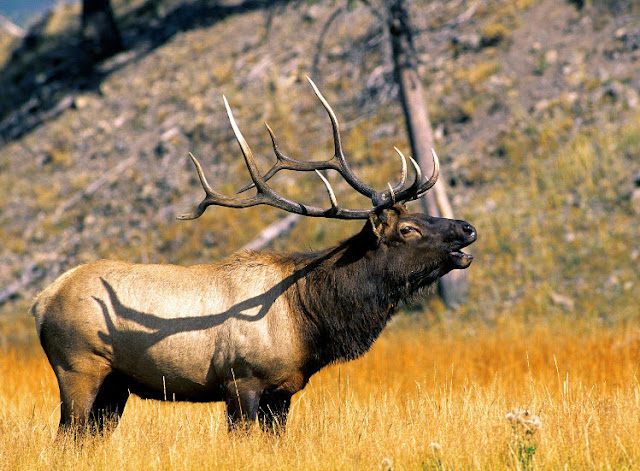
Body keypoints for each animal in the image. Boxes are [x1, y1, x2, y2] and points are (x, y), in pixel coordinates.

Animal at [32, 78, 476, 436]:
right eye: (408, 229)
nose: (468, 228)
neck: (308, 319)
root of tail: (42, 300)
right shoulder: (240, 380)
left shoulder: (284, 390)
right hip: (78, 367)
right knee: (67, 436)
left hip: (115, 385)